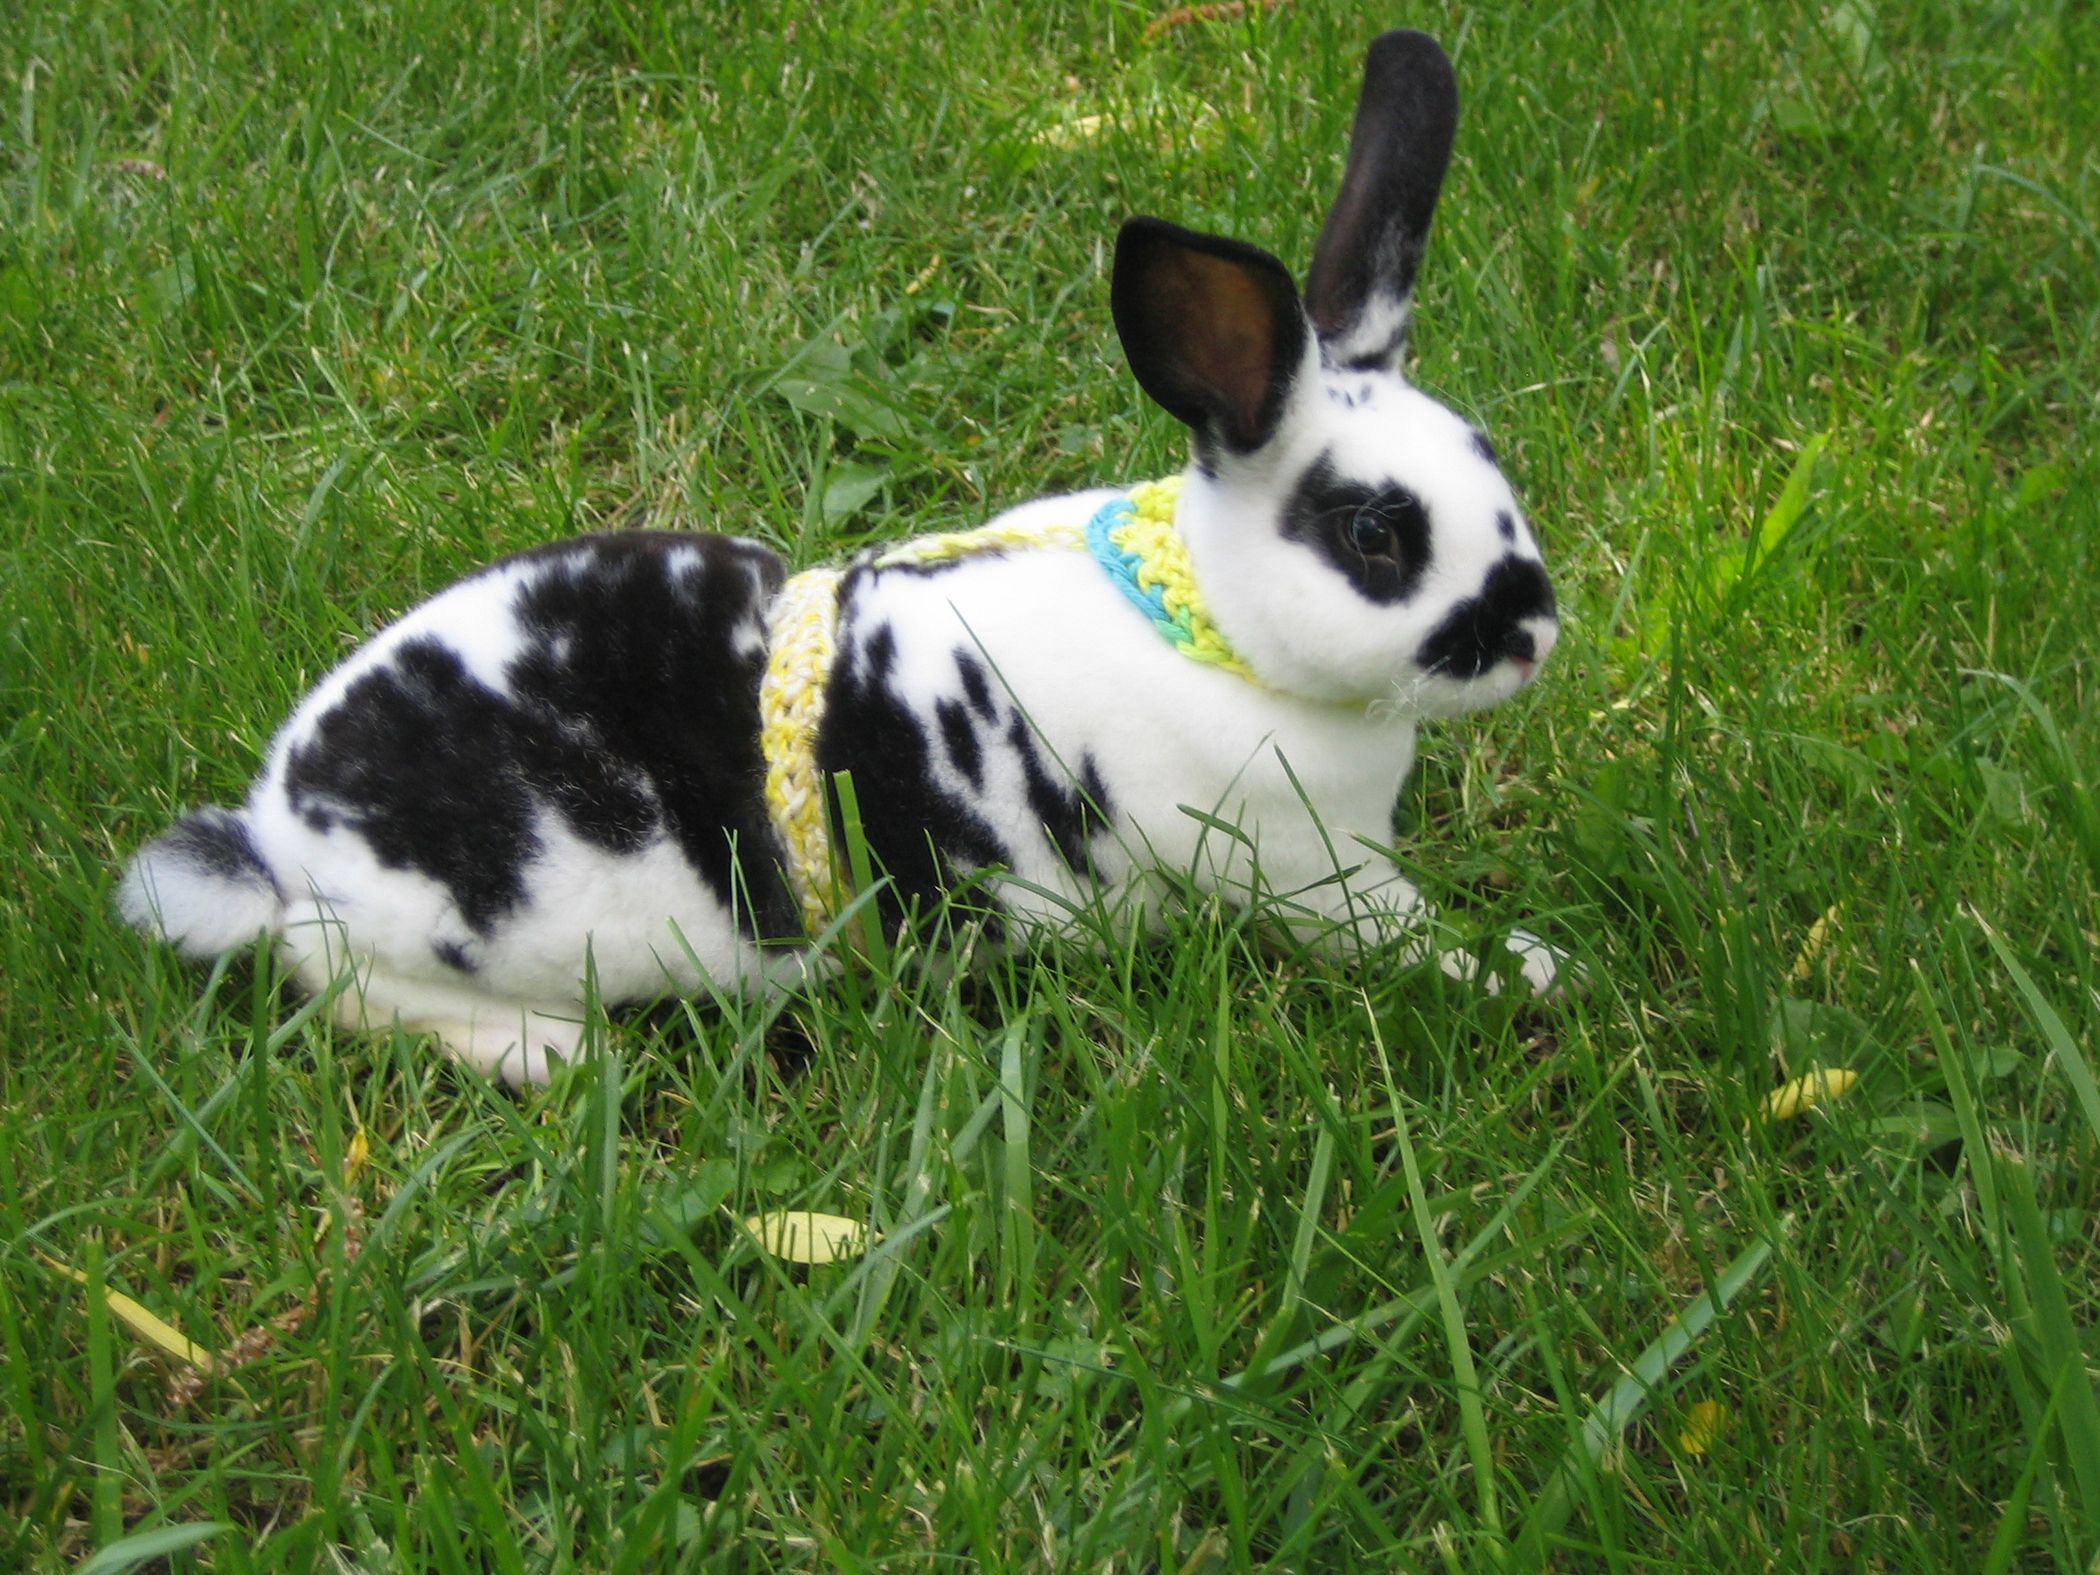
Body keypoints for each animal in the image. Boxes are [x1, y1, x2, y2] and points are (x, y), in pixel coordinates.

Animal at [119, 30, 1560, 1085]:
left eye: (1491, 458)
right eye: (1374, 532)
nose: (1536, 633)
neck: (1208, 623)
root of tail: (281, 841)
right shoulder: (1311, 870)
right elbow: (1400, 933)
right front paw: (1532, 966)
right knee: (342, 984)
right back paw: (550, 1054)